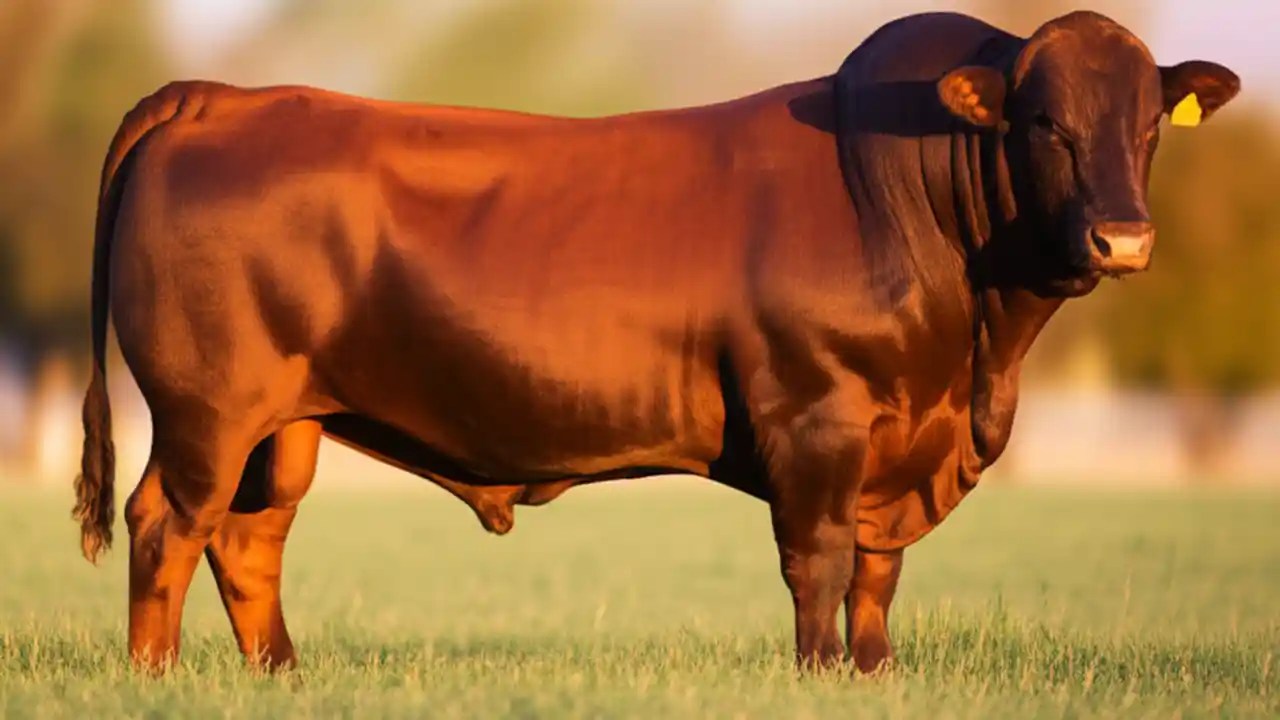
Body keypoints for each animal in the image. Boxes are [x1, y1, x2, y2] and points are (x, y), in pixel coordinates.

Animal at [72, 11, 1237, 674]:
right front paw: (821, 678)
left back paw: (283, 676)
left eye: (1147, 125)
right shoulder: (816, 417)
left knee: (249, 538)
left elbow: (876, 576)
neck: (974, 356)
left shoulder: (899, 443)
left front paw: (873, 676)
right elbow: (818, 565)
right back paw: (155, 681)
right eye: (1044, 123)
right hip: (206, 411)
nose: (1124, 237)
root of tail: (216, 99)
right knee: (166, 526)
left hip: (287, 423)